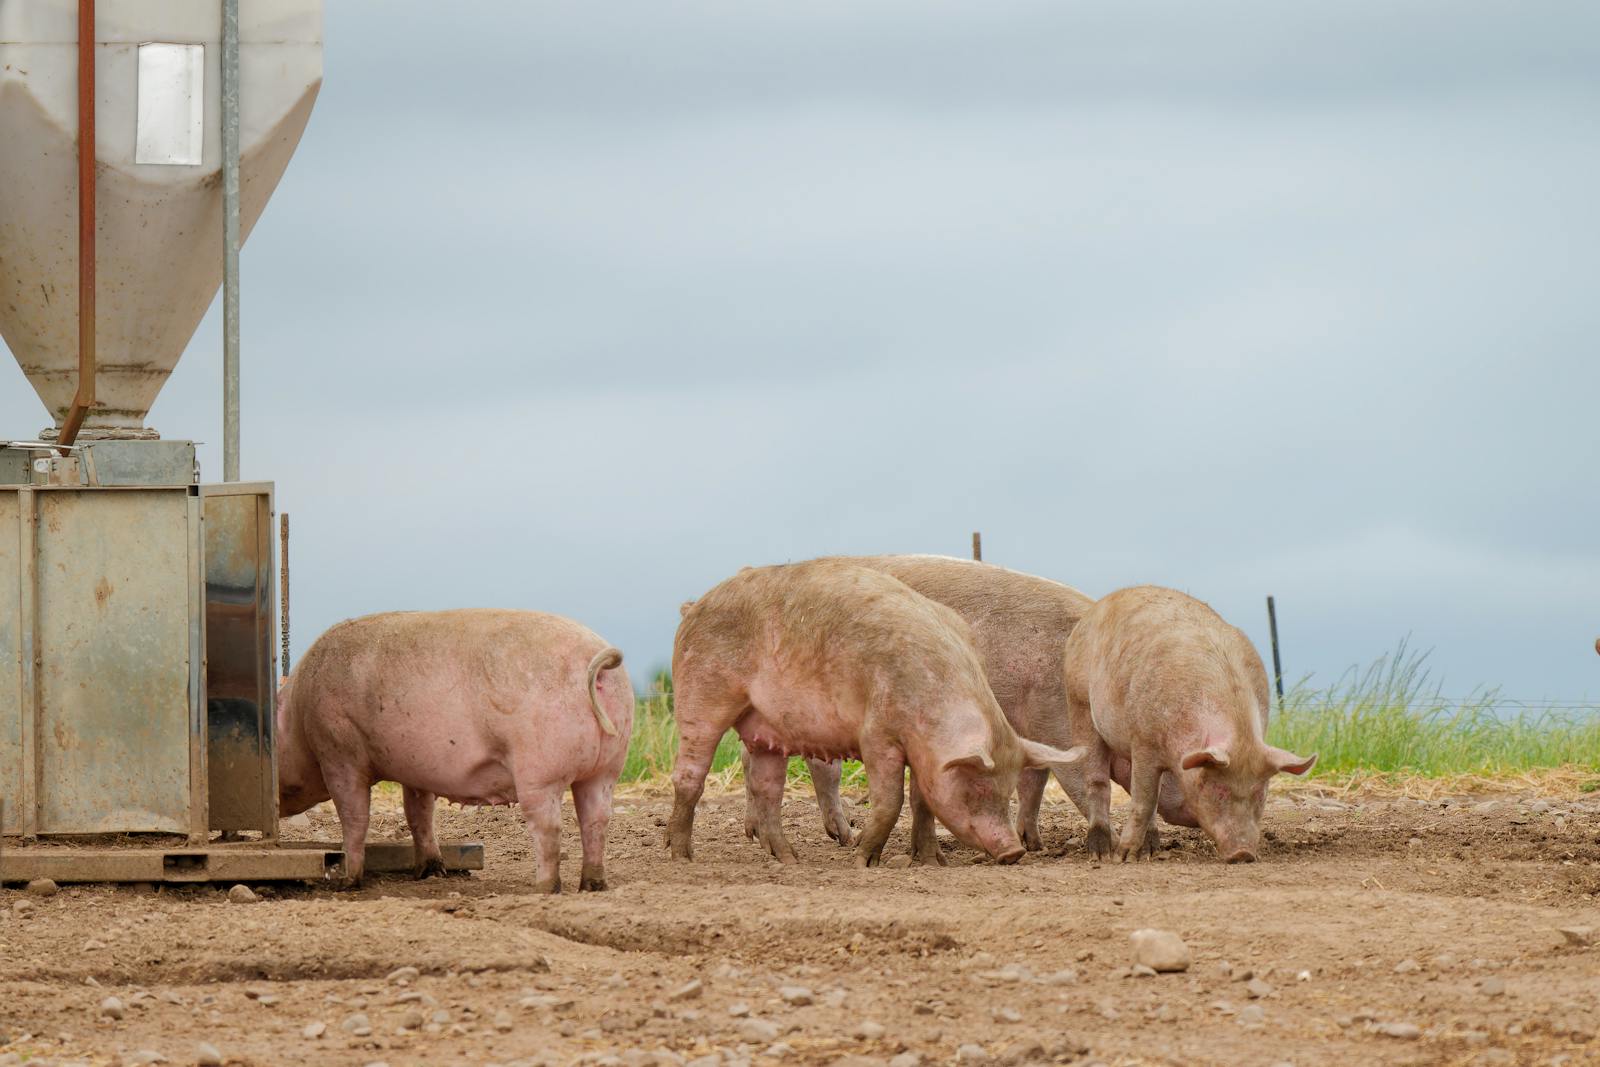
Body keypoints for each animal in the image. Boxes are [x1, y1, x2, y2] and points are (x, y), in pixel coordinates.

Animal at [276, 609, 633, 891]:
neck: (298, 714)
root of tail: (597, 659)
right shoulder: (415, 772)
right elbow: (419, 814)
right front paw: (430, 872)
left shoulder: (338, 751)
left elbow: (354, 816)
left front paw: (346, 882)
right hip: (608, 768)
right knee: (597, 819)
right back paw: (593, 886)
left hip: (539, 768)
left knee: (548, 827)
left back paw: (545, 888)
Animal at [667, 559, 1084, 867]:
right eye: (977, 787)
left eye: (1004, 789)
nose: (1013, 852)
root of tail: (694, 605)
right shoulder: (878, 735)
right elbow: (889, 801)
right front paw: (864, 861)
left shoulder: (928, 755)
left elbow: (922, 801)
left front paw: (931, 862)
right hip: (700, 693)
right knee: (691, 773)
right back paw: (682, 855)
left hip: (766, 727)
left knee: (766, 784)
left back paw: (789, 859)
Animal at [741, 555, 1192, 862]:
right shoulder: (1056, 723)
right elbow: (1080, 780)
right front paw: (1116, 847)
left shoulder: (1029, 732)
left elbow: (1033, 784)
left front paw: (1033, 842)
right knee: (809, 767)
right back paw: (827, 838)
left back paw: (773, 835)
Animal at [1063, 586, 1317, 863]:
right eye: (1217, 788)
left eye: (1260, 793)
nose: (1243, 853)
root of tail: (1096, 608)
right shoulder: (1143, 741)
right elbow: (1143, 801)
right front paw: (1123, 858)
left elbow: (1149, 796)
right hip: (1078, 700)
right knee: (1097, 779)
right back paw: (1101, 854)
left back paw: (1152, 851)